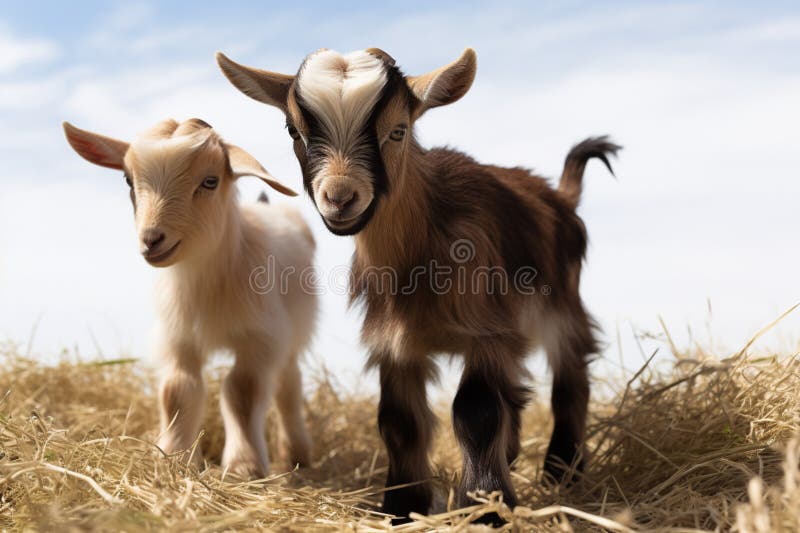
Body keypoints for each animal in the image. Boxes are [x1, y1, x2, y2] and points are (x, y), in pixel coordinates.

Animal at [62, 118, 316, 479]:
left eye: (210, 181)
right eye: (128, 179)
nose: (151, 239)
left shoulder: (259, 338)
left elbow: (242, 392)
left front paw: (245, 467)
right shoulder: (179, 337)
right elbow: (178, 391)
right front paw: (172, 458)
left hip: (295, 329)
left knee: (288, 384)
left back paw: (297, 454)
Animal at [217, 48, 619, 522]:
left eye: (398, 130)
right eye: (294, 130)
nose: (340, 197)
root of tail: (559, 196)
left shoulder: (486, 330)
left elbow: (477, 409)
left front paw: (484, 507)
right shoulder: (395, 342)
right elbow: (399, 420)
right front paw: (402, 507)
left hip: (562, 304)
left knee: (570, 375)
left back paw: (562, 472)